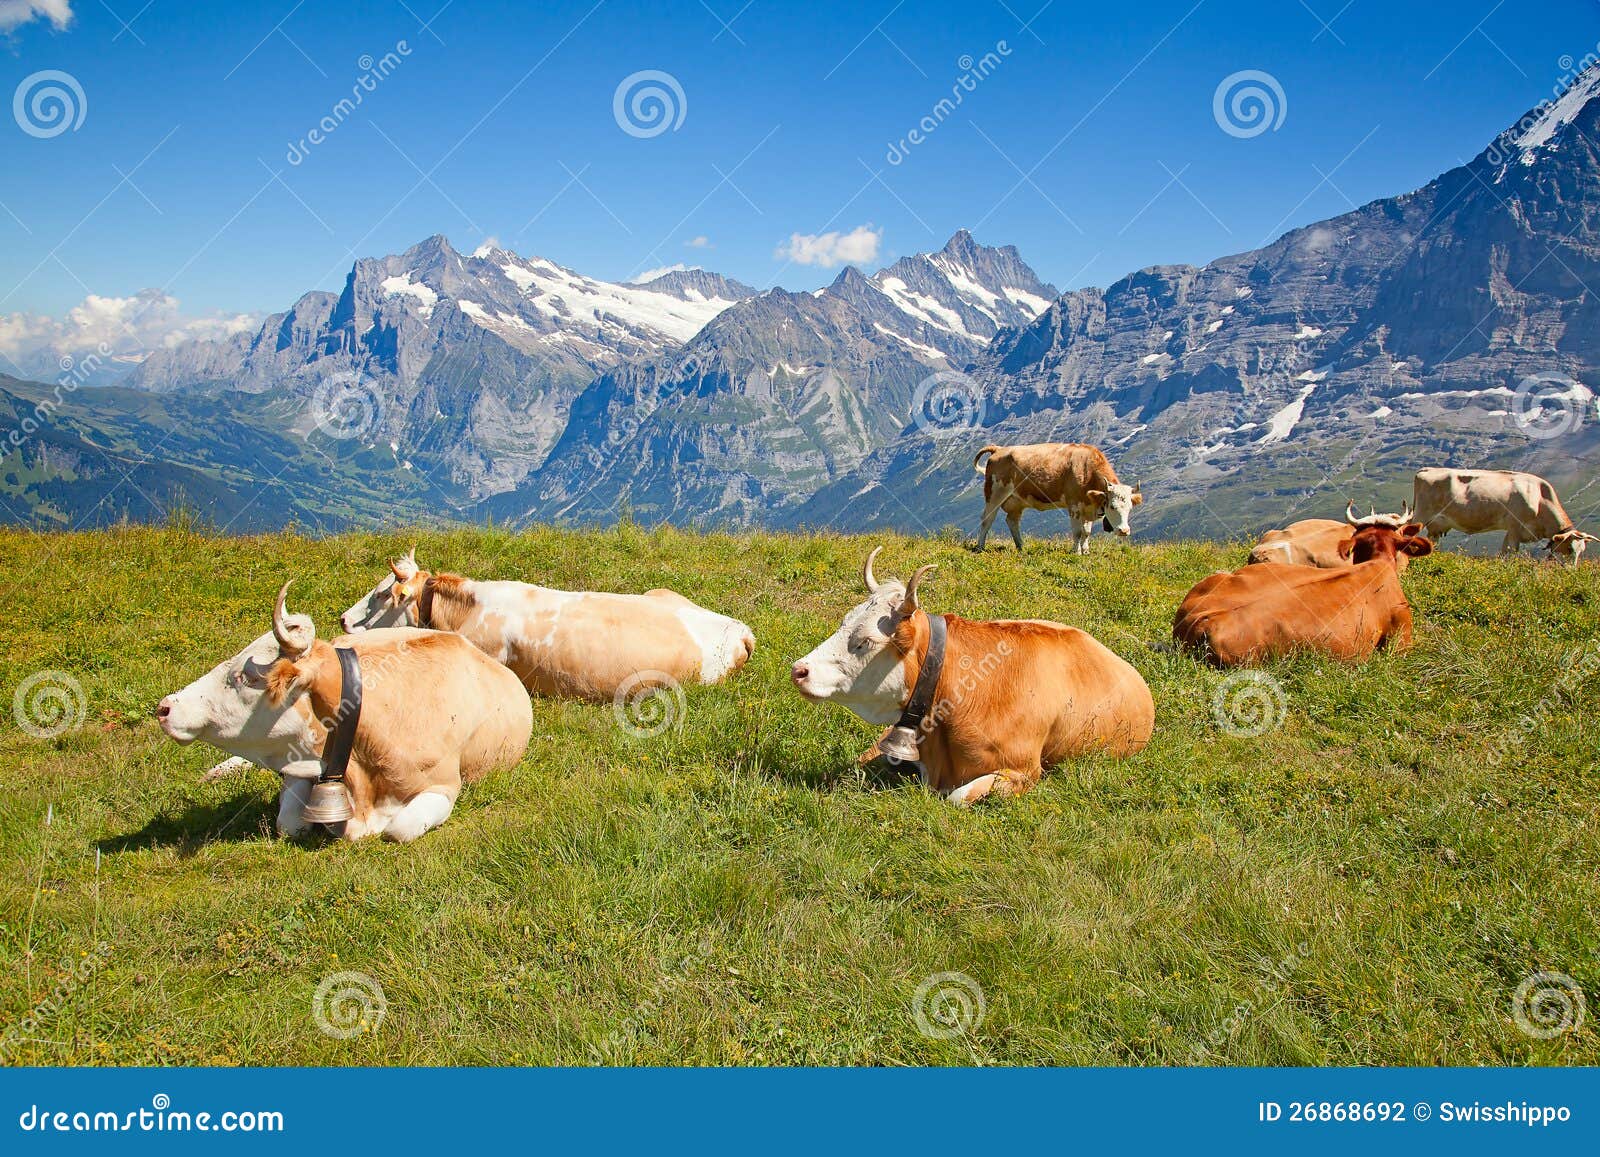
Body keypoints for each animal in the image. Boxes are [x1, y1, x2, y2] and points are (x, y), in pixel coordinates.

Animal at [973, 442, 1142, 554]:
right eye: (1112, 506)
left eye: (1130, 508)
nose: (1124, 531)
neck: (1087, 470)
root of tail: (999, 449)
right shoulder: (1074, 505)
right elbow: (1077, 532)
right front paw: (1076, 552)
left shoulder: (1088, 507)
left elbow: (1086, 532)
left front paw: (1086, 551)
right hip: (995, 493)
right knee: (987, 519)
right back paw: (980, 547)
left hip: (1017, 501)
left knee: (1012, 521)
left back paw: (1021, 546)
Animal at [1412, 468, 1588, 556]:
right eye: (1570, 549)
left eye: (1581, 551)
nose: (1572, 571)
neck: (1540, 499)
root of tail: (1427, 469)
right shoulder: (1515, 527)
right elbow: (1512, 553)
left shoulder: (1511, 530)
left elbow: (1504, 552)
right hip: (1421, 514)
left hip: (1436, 524)